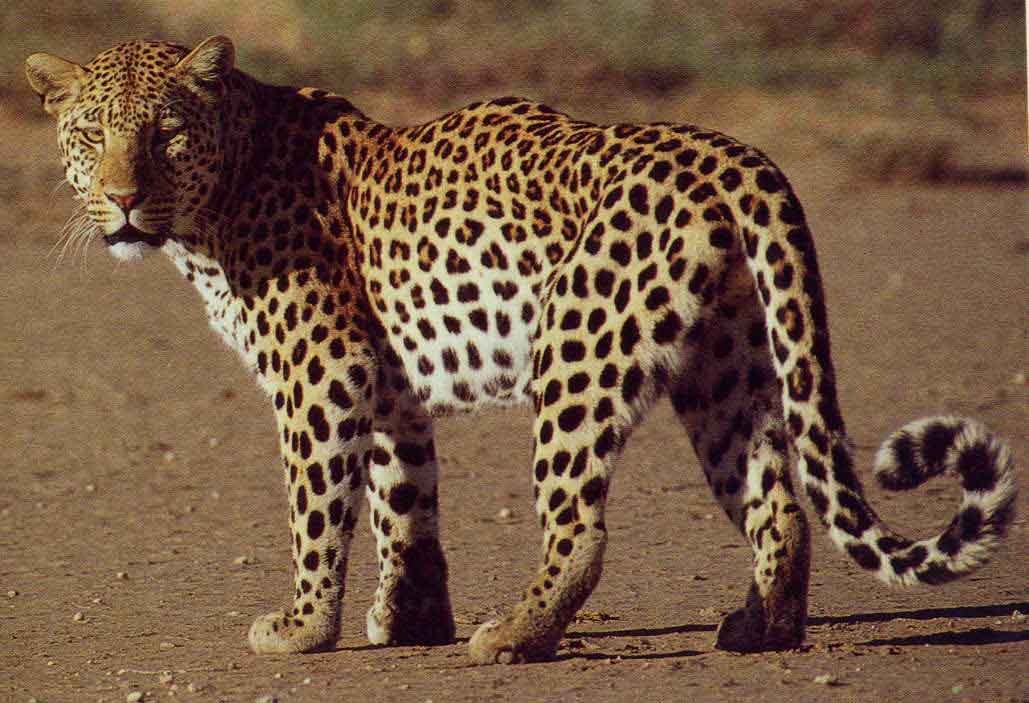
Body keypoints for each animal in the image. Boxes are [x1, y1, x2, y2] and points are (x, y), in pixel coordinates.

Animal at [26, 36, 1017, 663]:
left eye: (165, 134)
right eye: (91, 135)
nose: (121, 199)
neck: (210, 207)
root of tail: (729, 153)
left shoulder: (322, 374)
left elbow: (318, 510)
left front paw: (303, 626)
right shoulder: (387, 385)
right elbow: (403, 504)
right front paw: (409, 619)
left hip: (576, 347)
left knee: (580, 529)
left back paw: (511, 636)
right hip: (724, 367)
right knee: (777, 498)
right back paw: (759, 629)